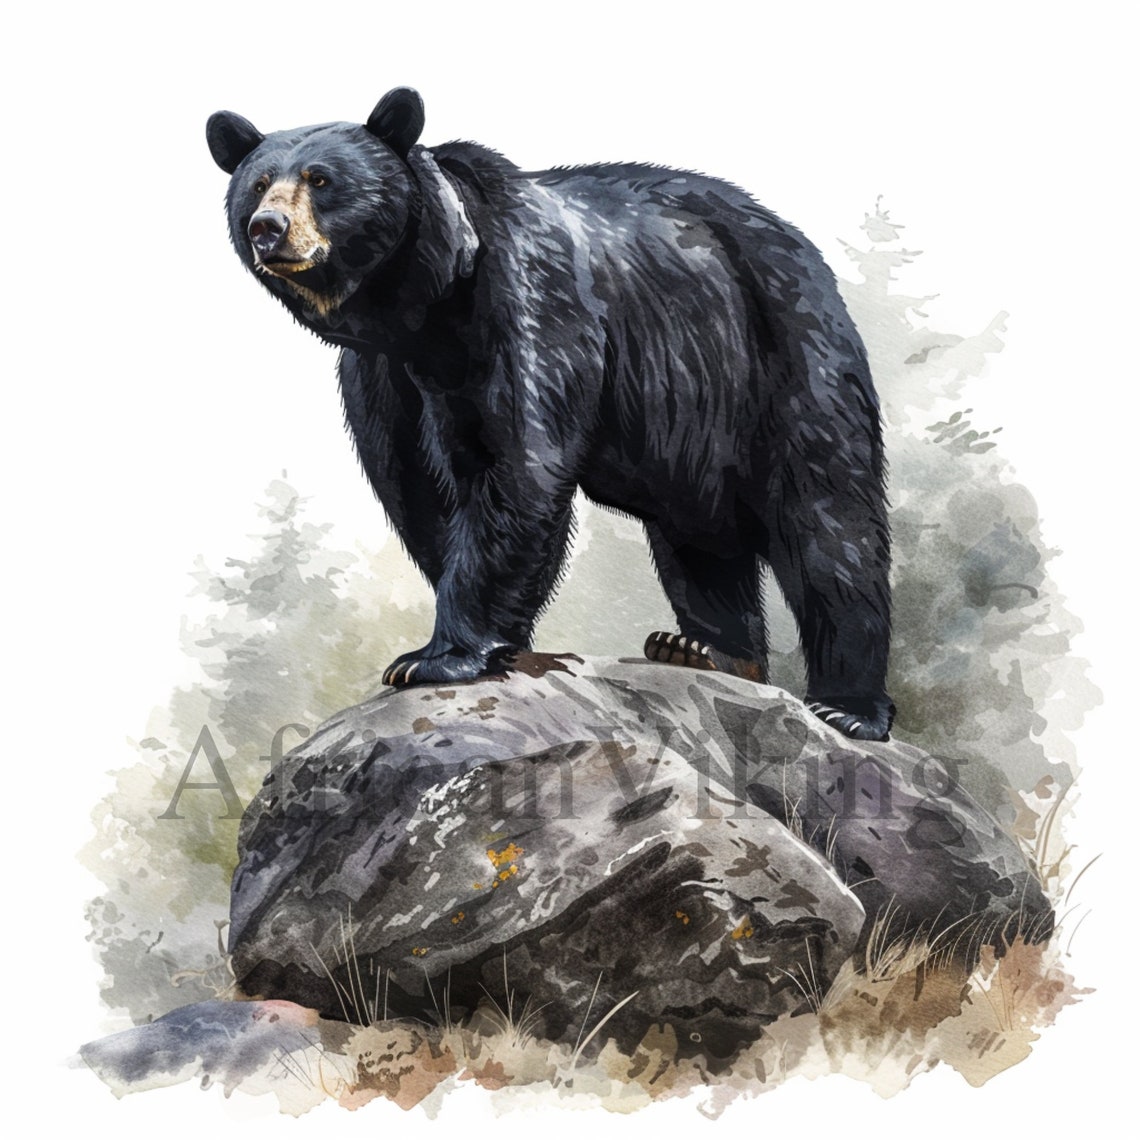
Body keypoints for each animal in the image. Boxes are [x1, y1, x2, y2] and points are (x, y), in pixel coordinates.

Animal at [206, 87, 895, 741]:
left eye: (322, 180)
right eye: (259, 183)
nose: (269, 227)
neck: (422, 306)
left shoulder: (529, 302)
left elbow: (519, 465)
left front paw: (438, 657)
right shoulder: (381, 372)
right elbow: (415, 488)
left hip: (783, 353)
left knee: (829, 520)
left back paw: (848, 706)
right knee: (698, 540)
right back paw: (707, 651)